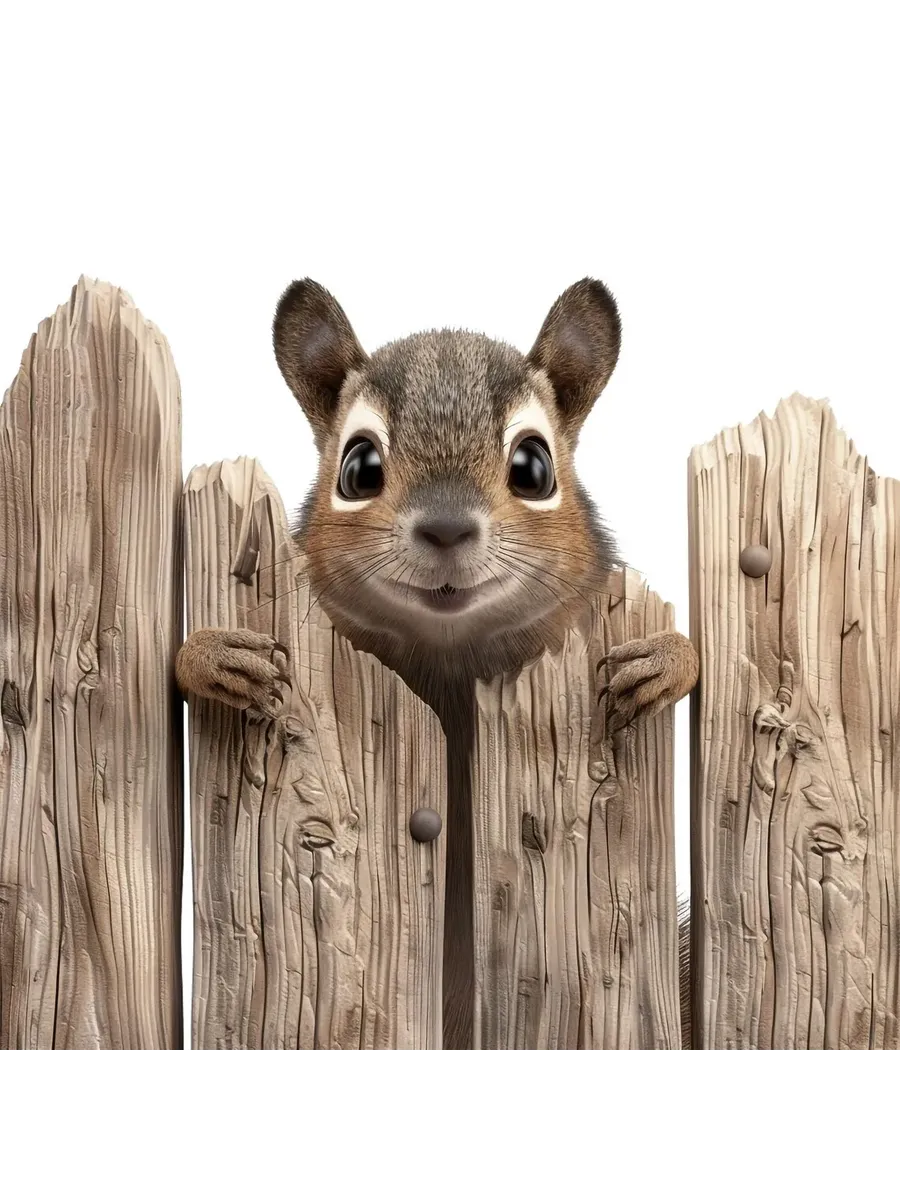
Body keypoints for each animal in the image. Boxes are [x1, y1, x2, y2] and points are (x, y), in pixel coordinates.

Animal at [175, 278, 699, 1051]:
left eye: (534, 467)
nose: (446, 528)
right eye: (359, 468)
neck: (451, 658)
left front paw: (666, 658)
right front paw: (213, 654)